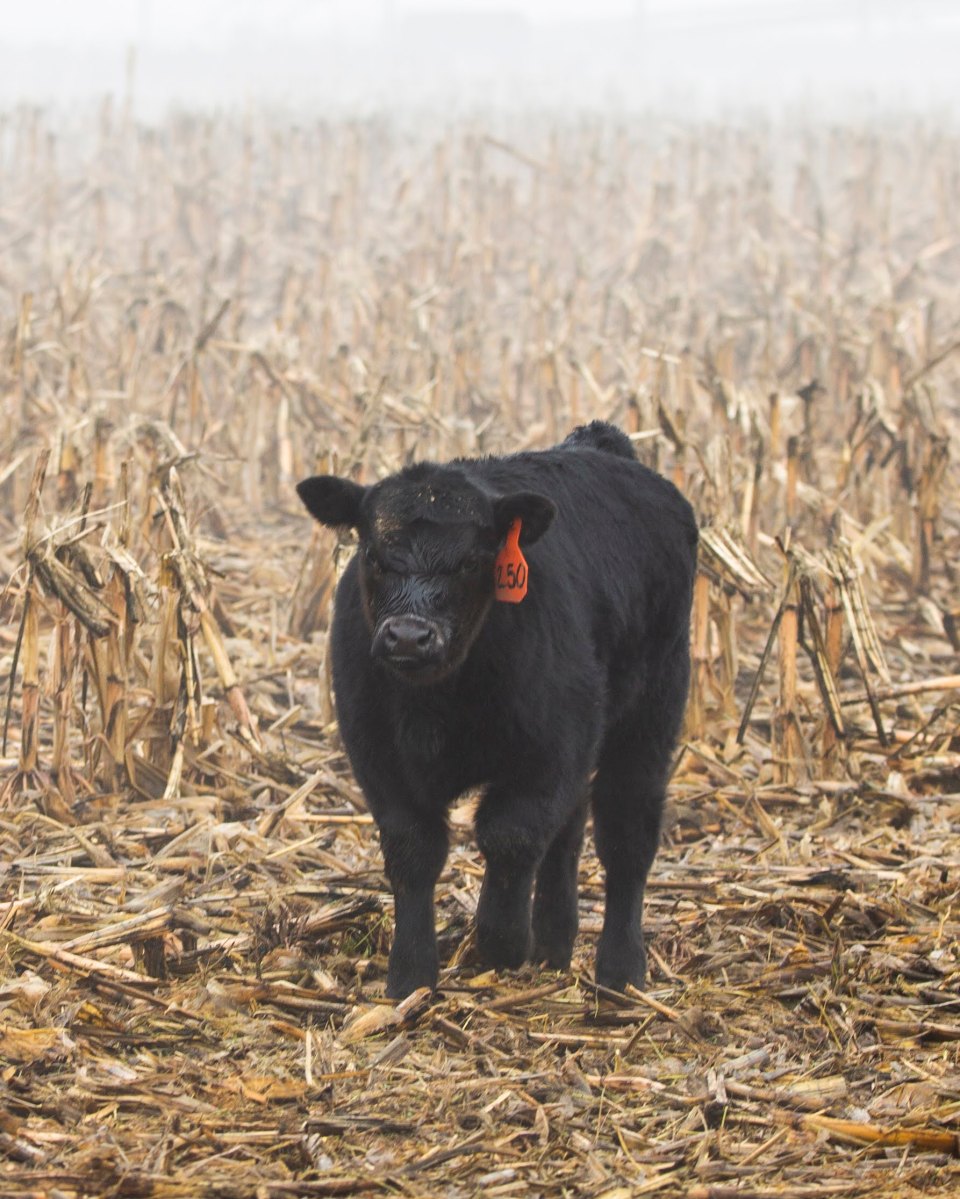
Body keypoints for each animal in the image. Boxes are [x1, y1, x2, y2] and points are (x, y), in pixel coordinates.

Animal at [297, 421, 697, 999]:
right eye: (373, 554)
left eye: (472, 561)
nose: (409, 636)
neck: (438, 704)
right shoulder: (378, 756)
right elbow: (414, 850)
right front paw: (409, 977)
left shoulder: (552, 747)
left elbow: (510, 835)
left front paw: (501, 942)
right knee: (569, 831)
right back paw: (554, 944)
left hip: (651, 713)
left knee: (626, 833)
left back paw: (621, 971)